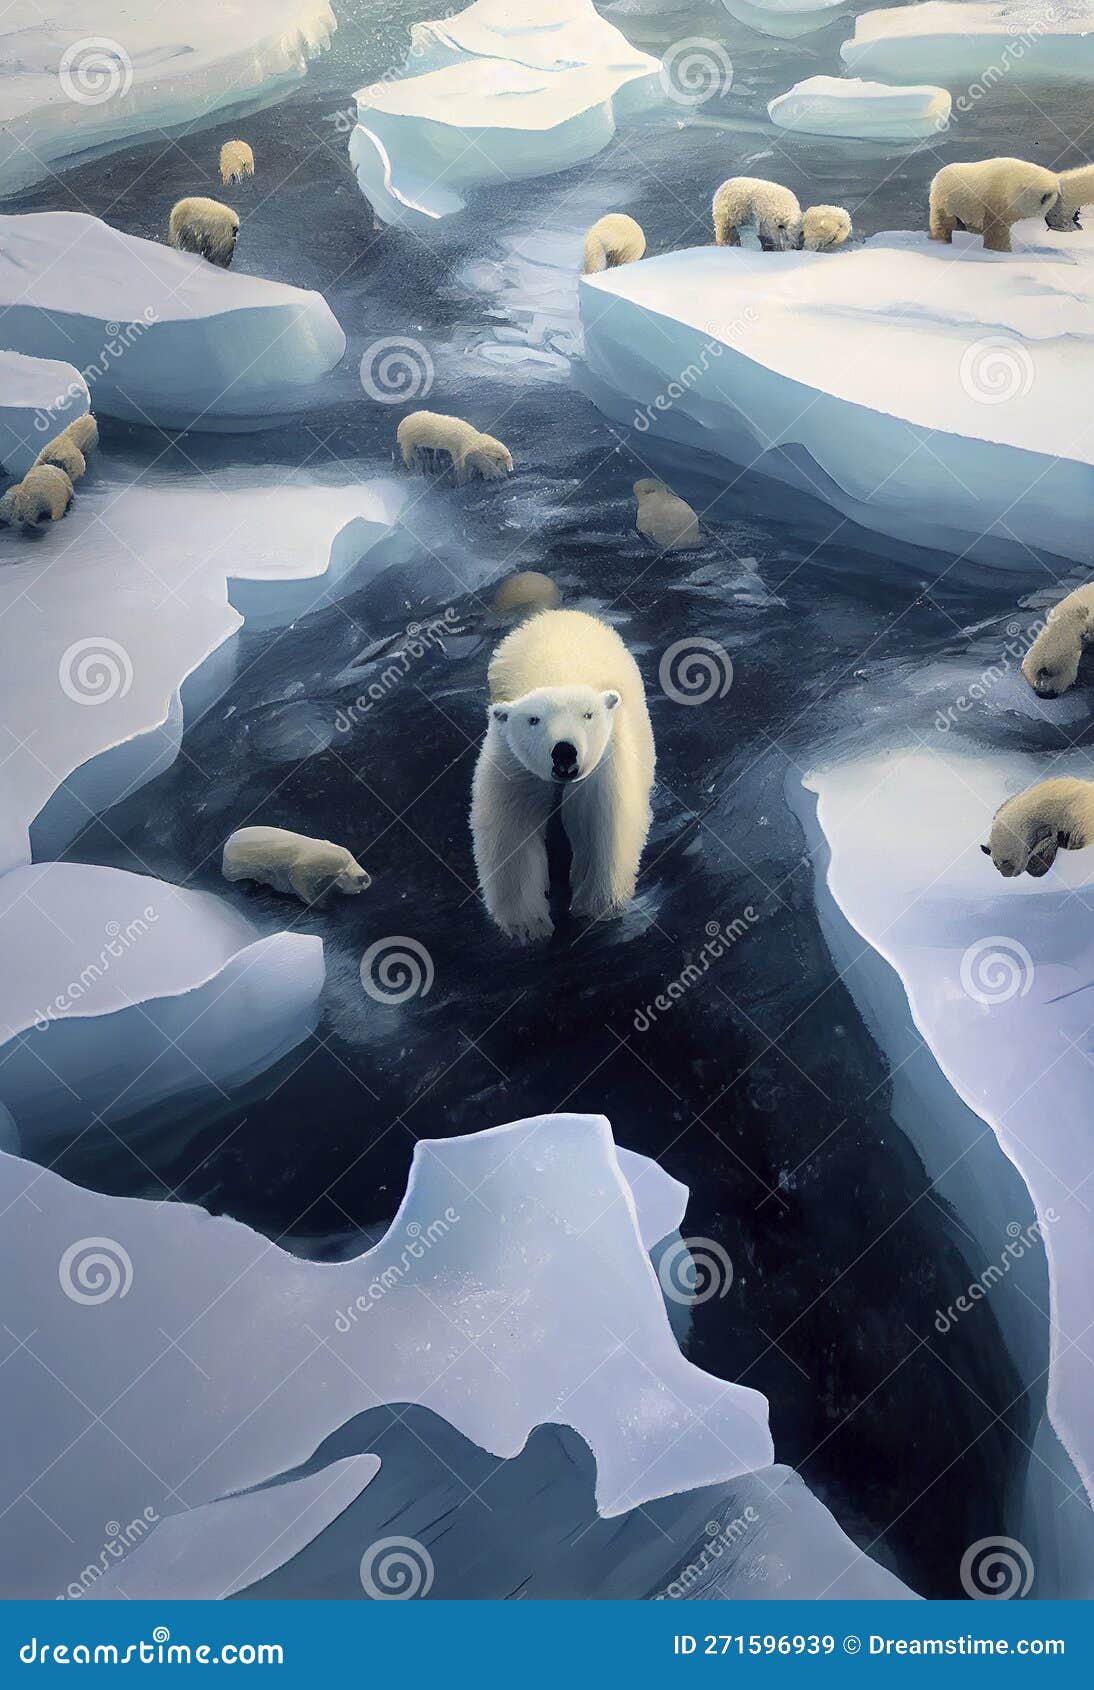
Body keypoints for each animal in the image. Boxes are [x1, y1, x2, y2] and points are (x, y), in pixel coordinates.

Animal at [471, 608, 655, 941]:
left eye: (588, 714)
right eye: (533, 720)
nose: (564, 751)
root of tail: (559, 612)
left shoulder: (604, 765)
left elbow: (602, 826)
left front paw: (596, 907)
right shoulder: (514, 768)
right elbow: (510, 832)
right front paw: (527, 925)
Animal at [928, 158, 1059, 253]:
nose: (1055, 224)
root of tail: (937, 175)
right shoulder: (996, 200)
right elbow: (996, 231)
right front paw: (1002, 250)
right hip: (946, 200)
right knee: (943, 223)